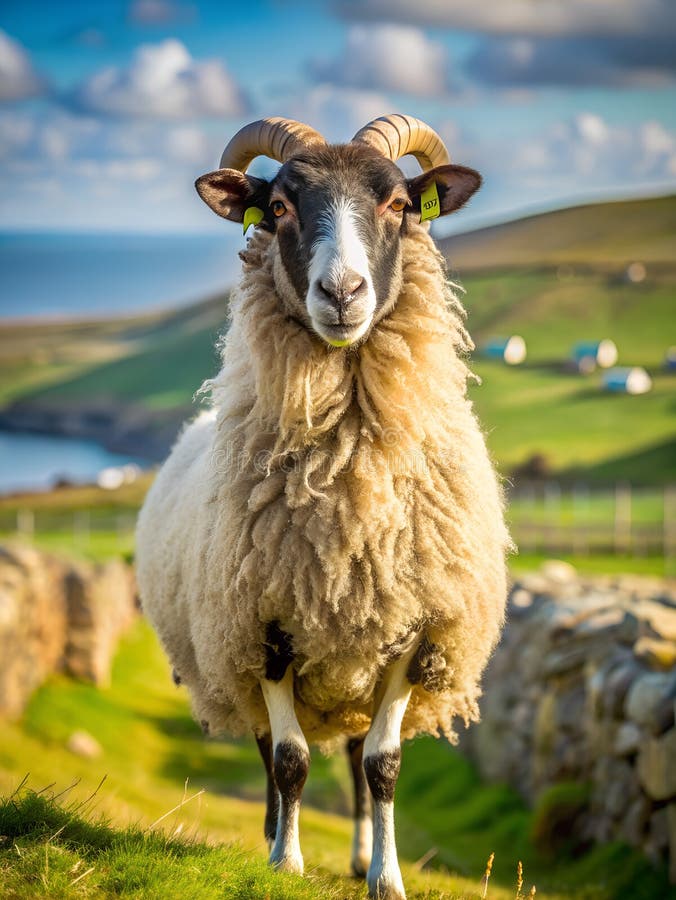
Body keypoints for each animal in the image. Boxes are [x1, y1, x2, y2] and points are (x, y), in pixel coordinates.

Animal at [135, 114, 511, 900]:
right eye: (279, 206)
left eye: (399, 203)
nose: (342, 292)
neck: (350, 501)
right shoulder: (264, 628)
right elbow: (289, 762)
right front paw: (286, 863)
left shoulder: (416, 631)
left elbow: (383, 767)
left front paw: (386, 878)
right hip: (240, 661)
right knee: (274, 754)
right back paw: (275, 836)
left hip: (354, 668)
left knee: (359, 763)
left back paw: (359, 852)